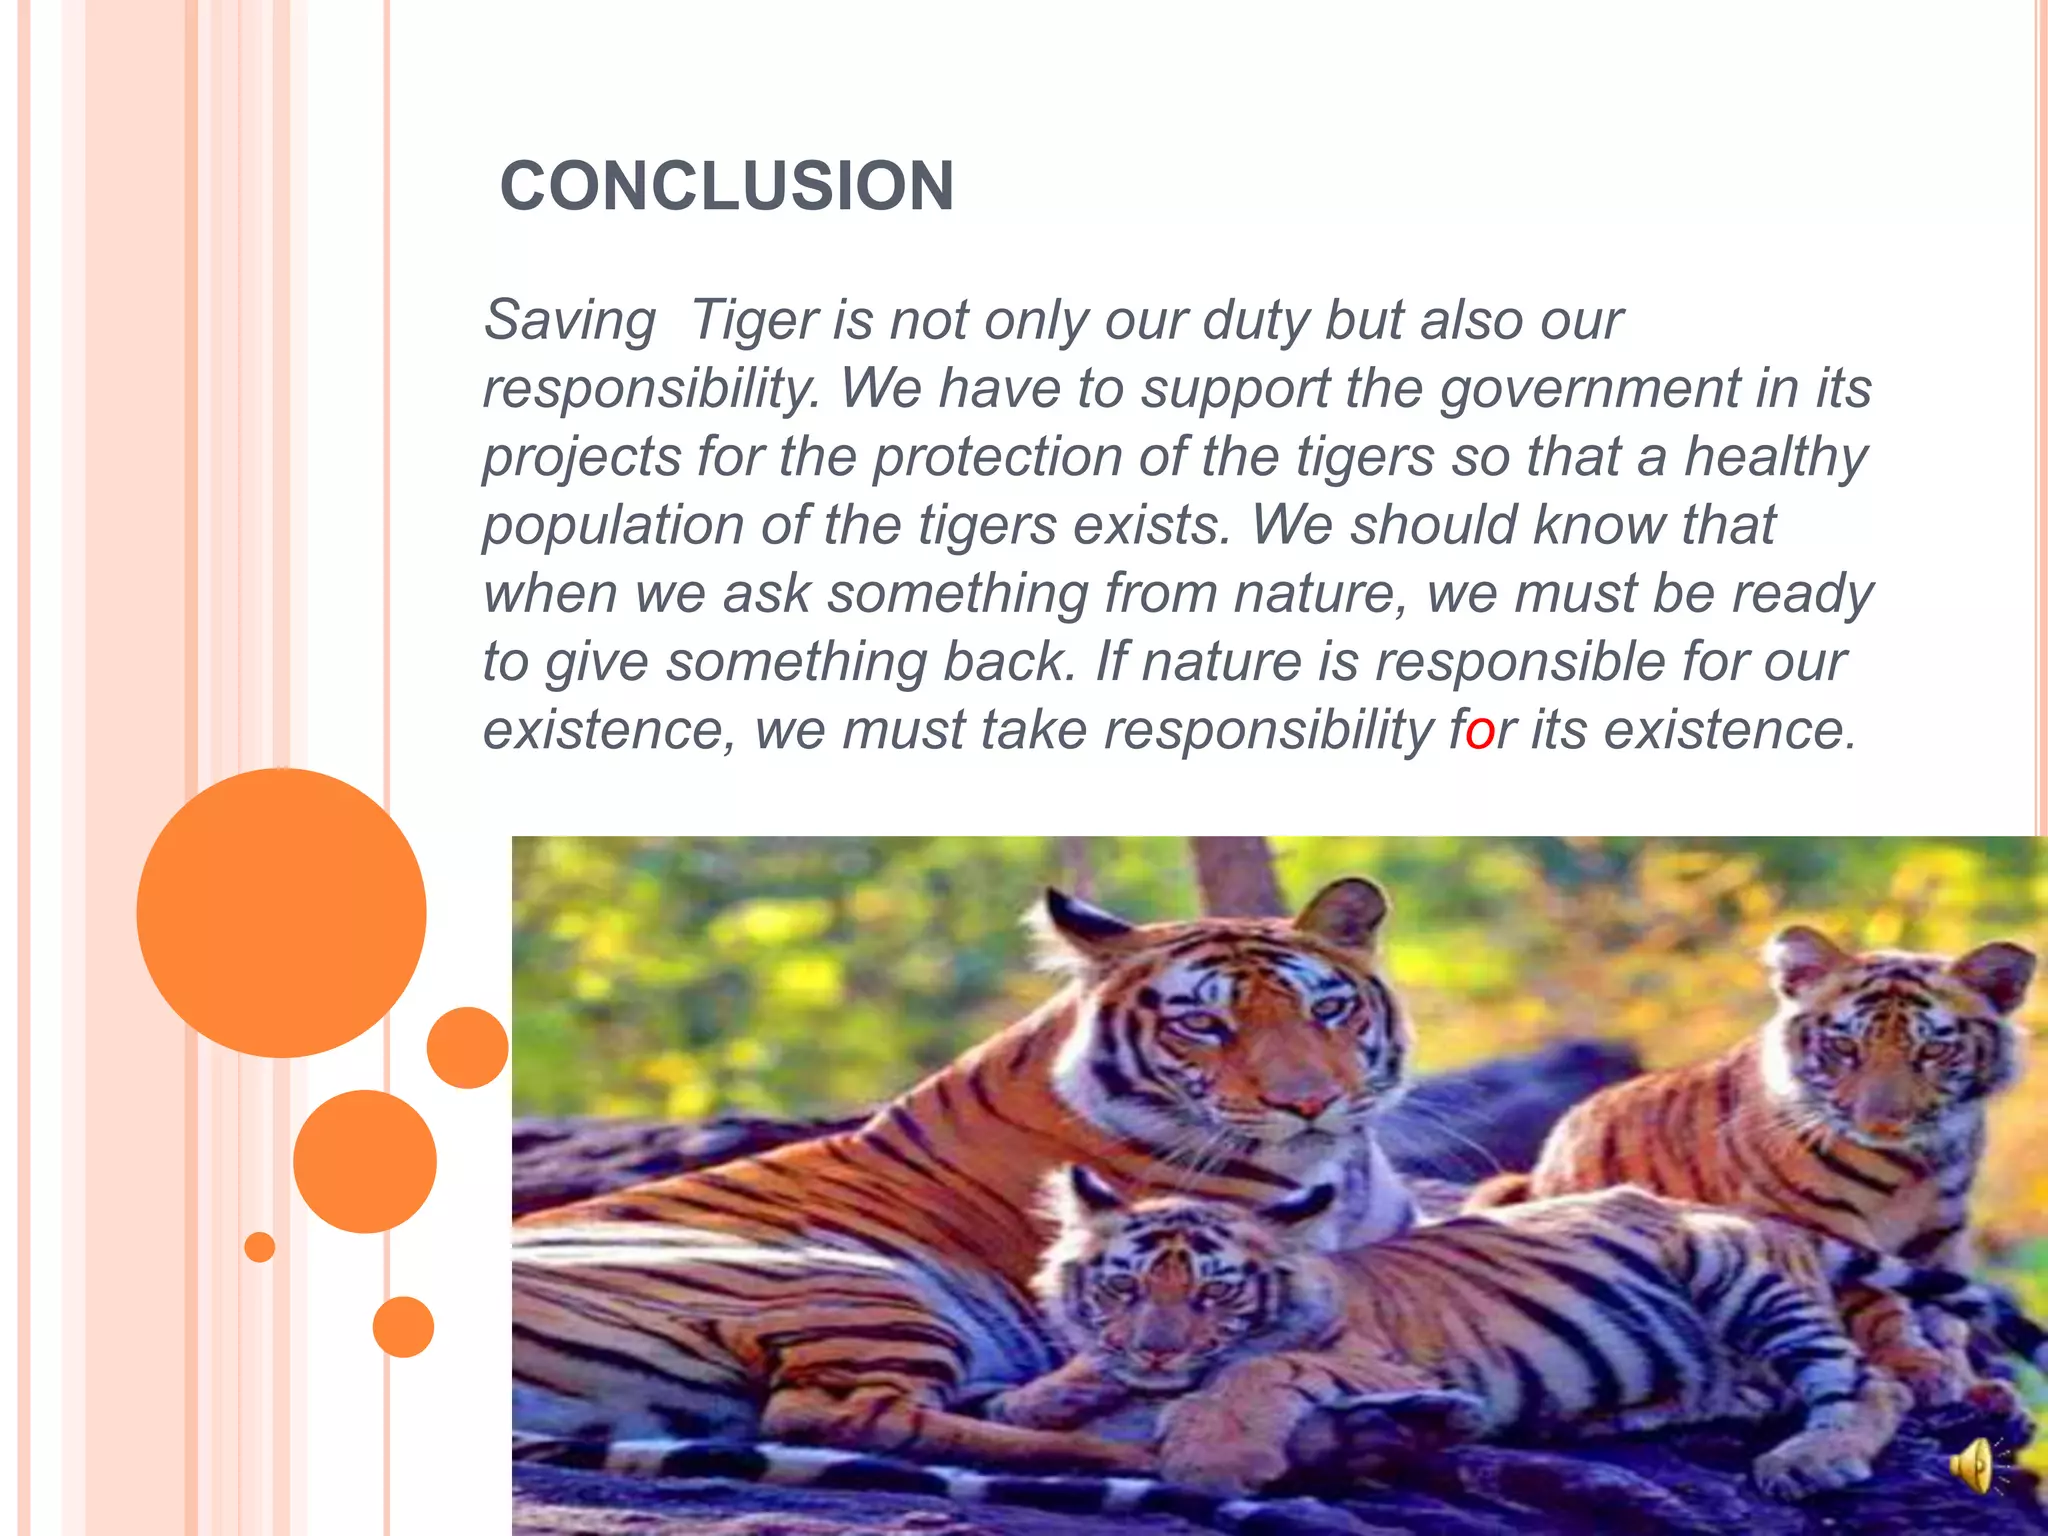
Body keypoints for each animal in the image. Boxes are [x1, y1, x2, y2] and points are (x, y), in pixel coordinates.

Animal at [513, 876, 1425, 1476]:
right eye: (1201, 1025)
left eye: (1329, 1010)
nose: (1309, 1103)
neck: (1339, 1164)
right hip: (856, 1287)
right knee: (840, 1418)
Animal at [992, 1167, 2048, 1501]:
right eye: (1125, 1286)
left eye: (1214, 1294)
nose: (1159, 1348)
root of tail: (1759, 1216)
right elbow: (1083, 1387)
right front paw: (1036, 1396)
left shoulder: (1359, 1352)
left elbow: (1253, 1374)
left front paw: (1214, 1454)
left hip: (1735, 1272)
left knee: (1874, 1383)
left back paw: (1812, 1460)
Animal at [1469, 926, 2036, 1413]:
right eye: (1845, 1046)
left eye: (1933, 1049)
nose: (1881, 1121)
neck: (1915, 1164)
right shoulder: (1818, 1223)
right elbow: (1878, 1301)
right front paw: (1918, 1367)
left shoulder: (1941, 1231)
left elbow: (1947, 1313)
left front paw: (1974, 1385)